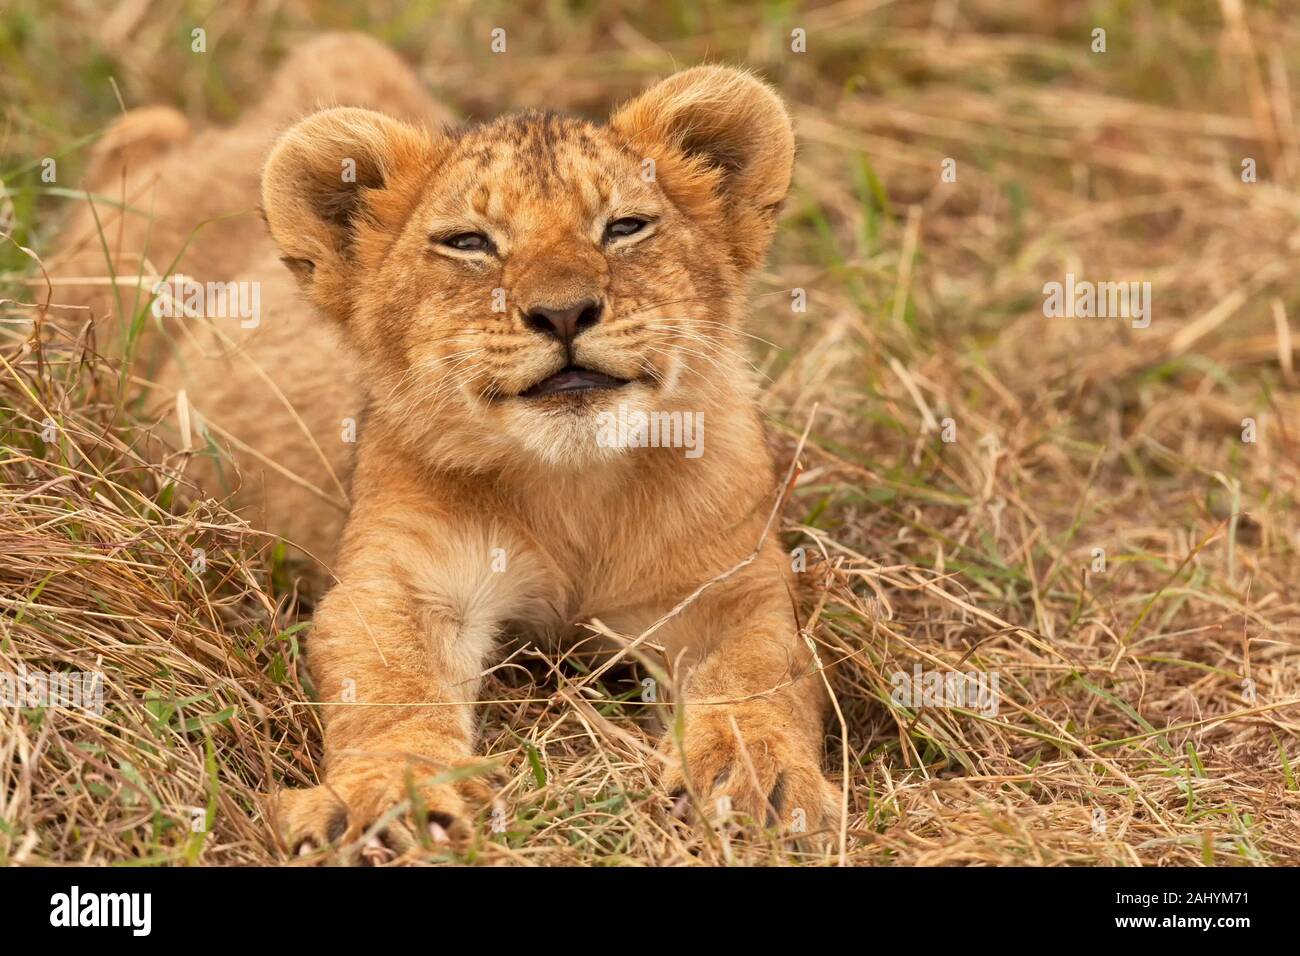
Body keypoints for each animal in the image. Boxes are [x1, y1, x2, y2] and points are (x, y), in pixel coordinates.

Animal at [51, 33, 838, 859]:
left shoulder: (729, 586)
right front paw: (388, 798)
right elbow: (394, 693)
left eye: (624, 227)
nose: (564, 312)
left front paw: (755, 784)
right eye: (469, 243)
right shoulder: (398, 585)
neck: (574, 488)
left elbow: (761, 676)